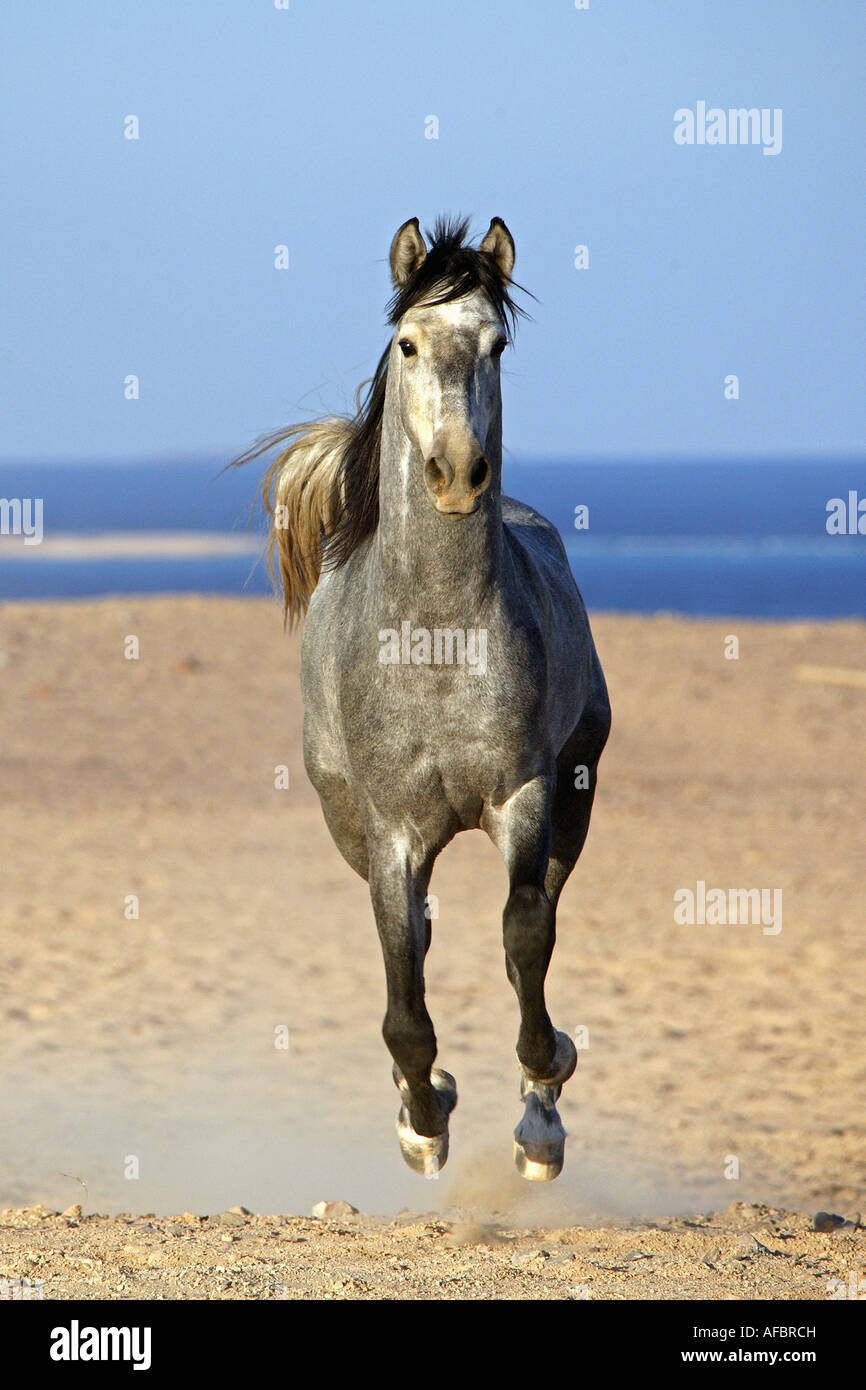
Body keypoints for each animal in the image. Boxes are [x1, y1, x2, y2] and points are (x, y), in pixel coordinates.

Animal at [236, 216, 610, 1181]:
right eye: (408, 342)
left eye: (497, 344)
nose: (456, 472)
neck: (435, 641)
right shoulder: (392, 832)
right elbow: (403, 988)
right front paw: (423, 1120)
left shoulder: (523, 794)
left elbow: (524, 936)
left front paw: (542, 1101)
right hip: (355, 830)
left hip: (577, 794)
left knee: (539, 919)